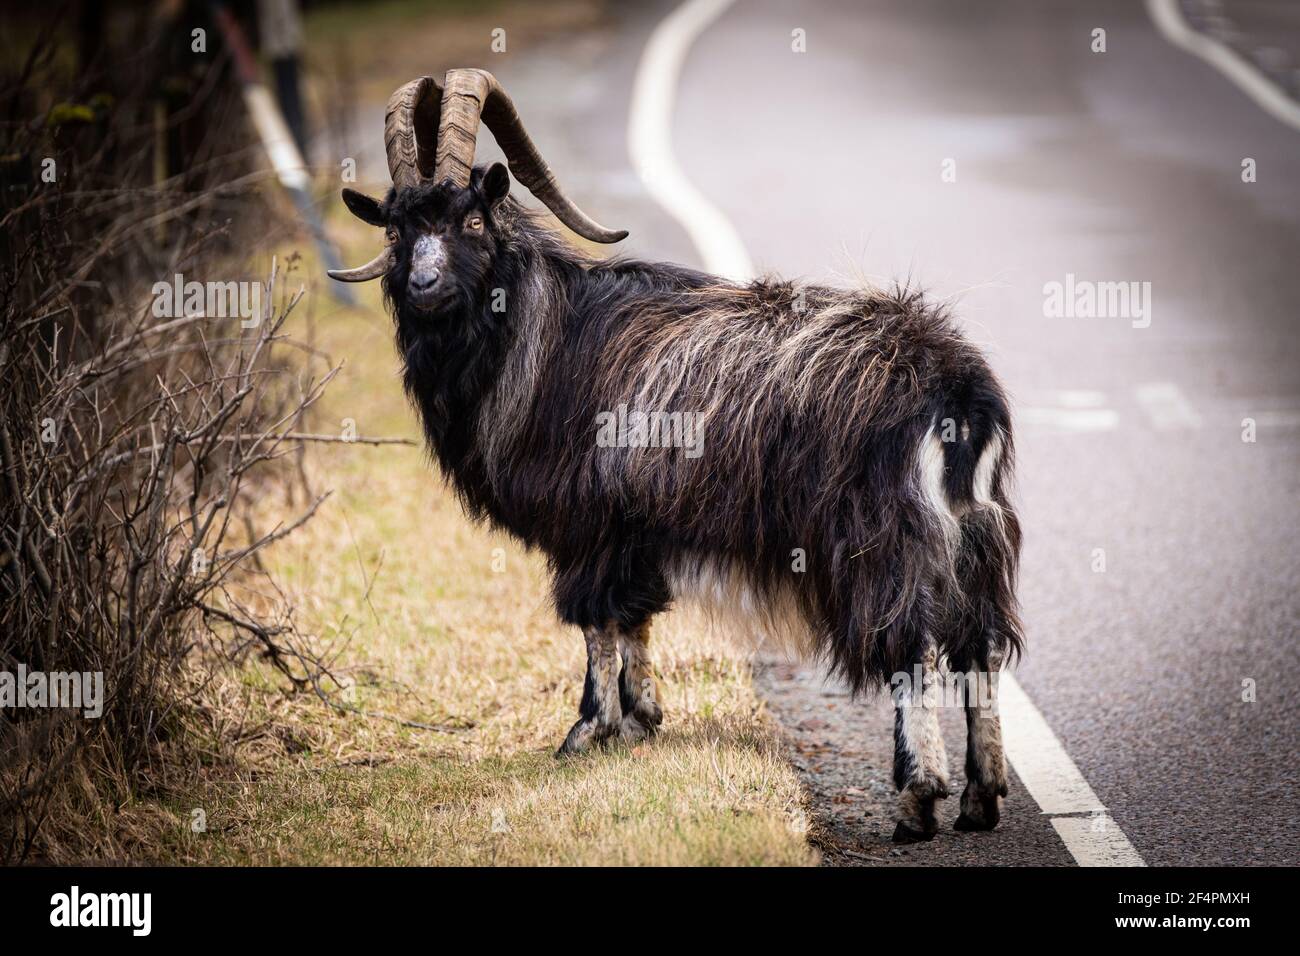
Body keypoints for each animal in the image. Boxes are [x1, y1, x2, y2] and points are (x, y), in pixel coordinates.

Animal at [330, 69, 1023, 842]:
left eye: (473, 220)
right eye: (396, 229)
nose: (422, 287)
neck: (544, 333)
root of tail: (956, 389)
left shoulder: (589, 525)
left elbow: (595, 620)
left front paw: (587, 731)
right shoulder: (635, 527)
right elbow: (635, 615)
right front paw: (643, 719)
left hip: (884, 540)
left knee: (912, 650)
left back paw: (917, 799)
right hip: (975, 534)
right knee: (982, 648)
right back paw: (980, 797)